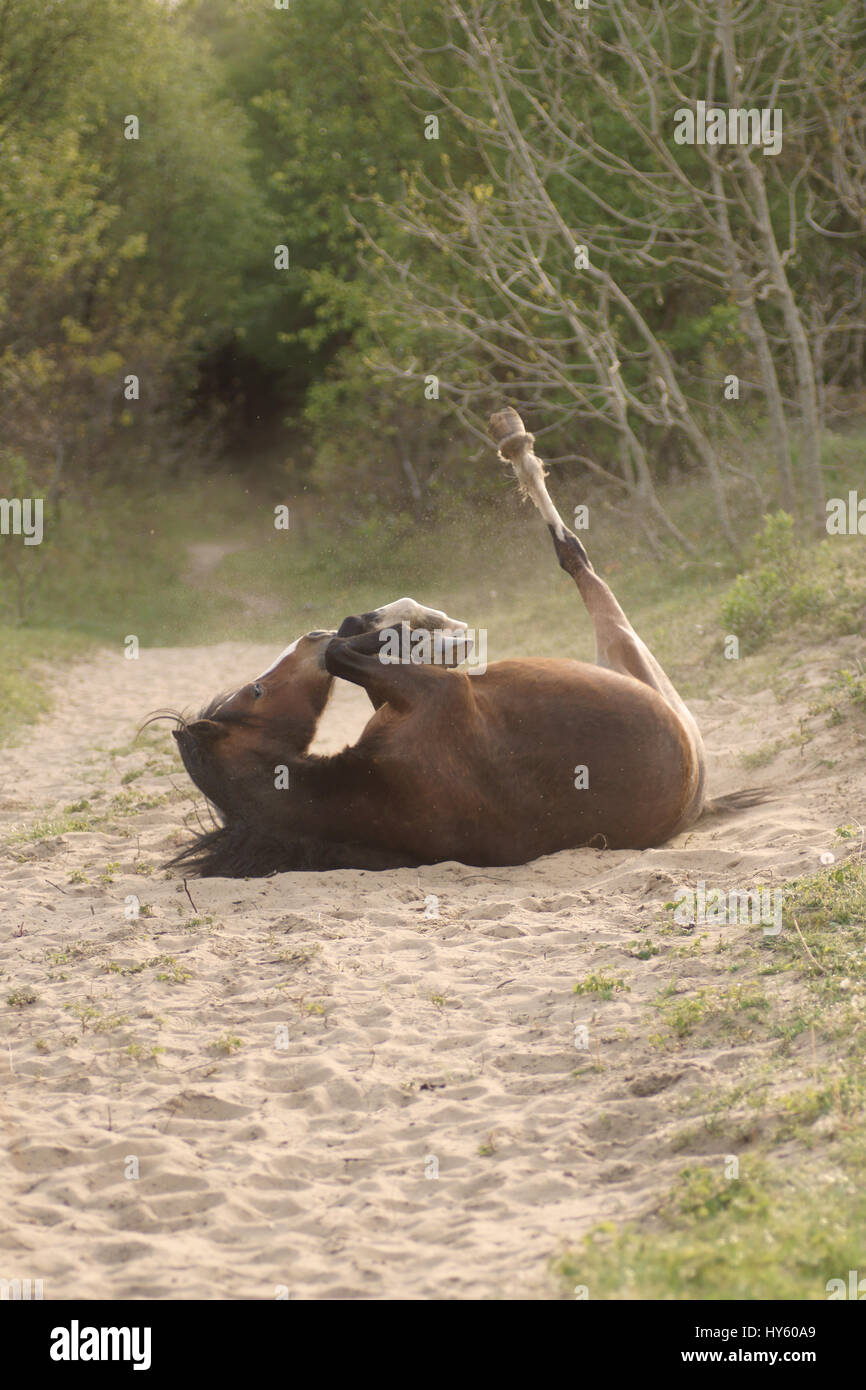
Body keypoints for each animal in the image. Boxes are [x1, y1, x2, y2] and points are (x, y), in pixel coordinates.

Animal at [169, 408, 759, 876]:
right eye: (257, 691)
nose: (305, 637)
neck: (371, 792)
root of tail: (698, 801)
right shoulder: (439, 697)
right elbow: (354, 649)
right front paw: (438, 631)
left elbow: (354, 635)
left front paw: (411, 628)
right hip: (629, 653)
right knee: (573, 553)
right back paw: (514, 441)